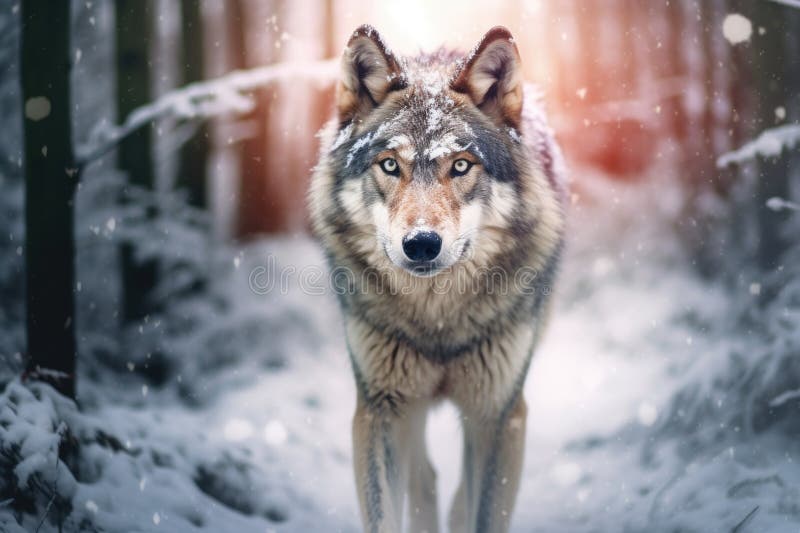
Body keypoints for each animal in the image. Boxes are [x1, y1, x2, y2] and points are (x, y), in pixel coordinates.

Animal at [309, 25, 567, 533]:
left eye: (460, 165)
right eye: (390, 165)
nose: (422, 244)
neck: (438, 321)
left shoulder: (499, 413)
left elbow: (482, 511)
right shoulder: (380, 409)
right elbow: (386, 512)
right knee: (425, 476)